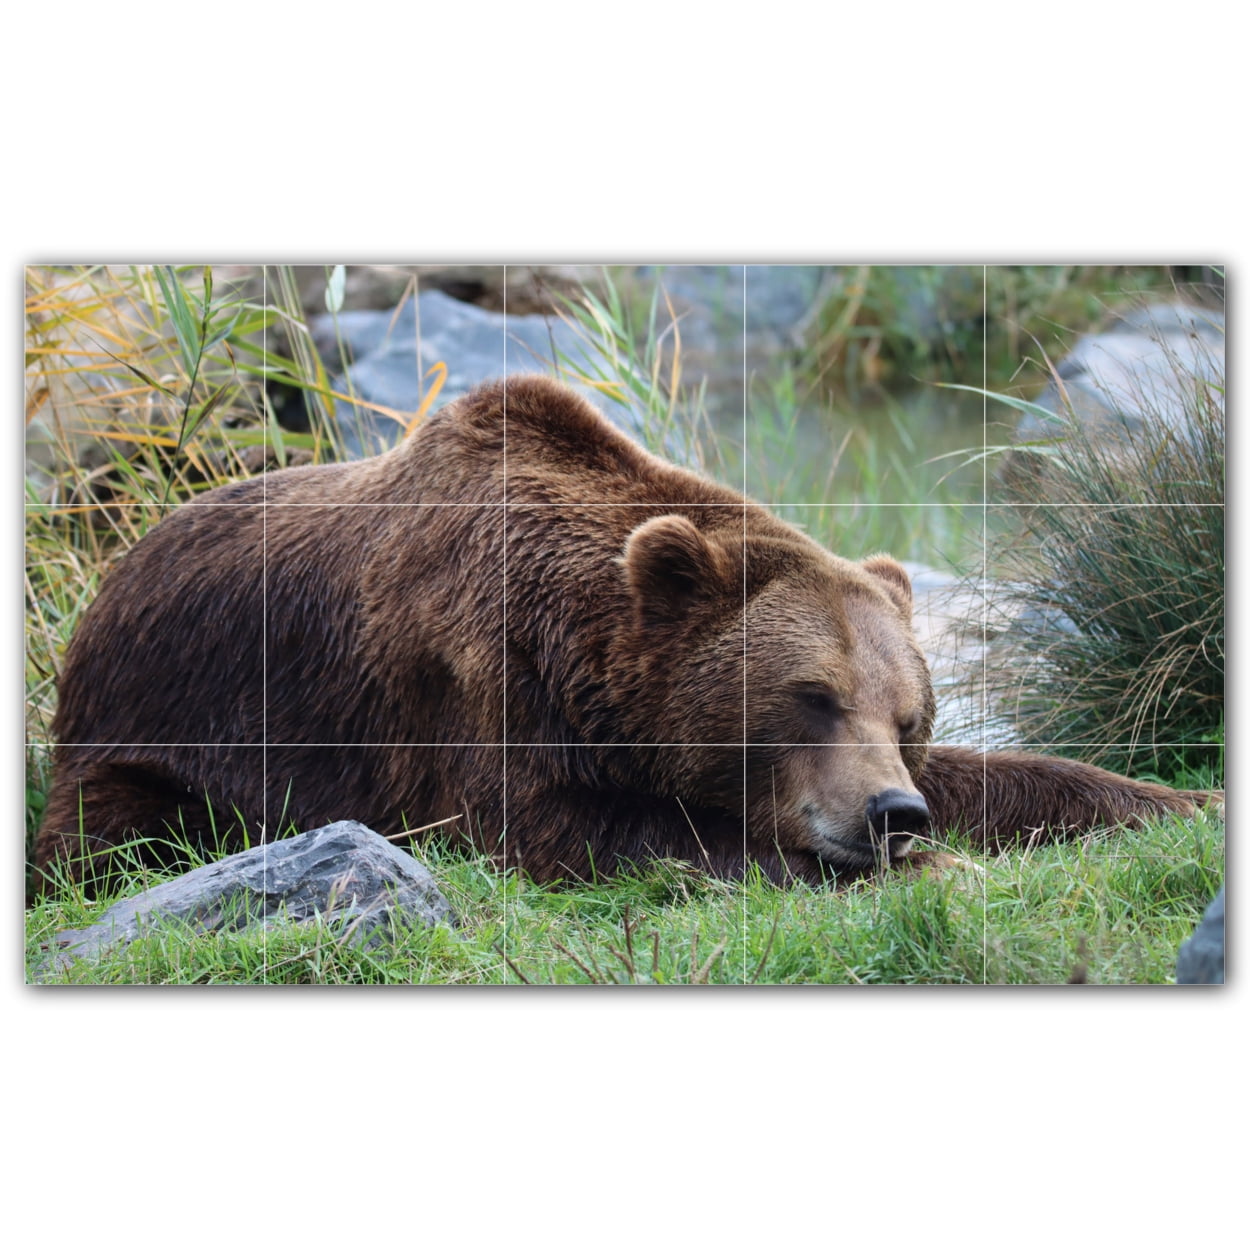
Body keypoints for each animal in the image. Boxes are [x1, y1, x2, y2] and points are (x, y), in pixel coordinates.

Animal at [29, 374, 1216, 898]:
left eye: (908, 713)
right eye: (811, 694)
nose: (890, 814)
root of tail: (116, 568)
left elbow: (1008, 775)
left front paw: (1179, 803)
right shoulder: (468, 694)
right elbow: (593, 829)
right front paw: (928, 869)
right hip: (160, 728)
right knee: (119, 834)